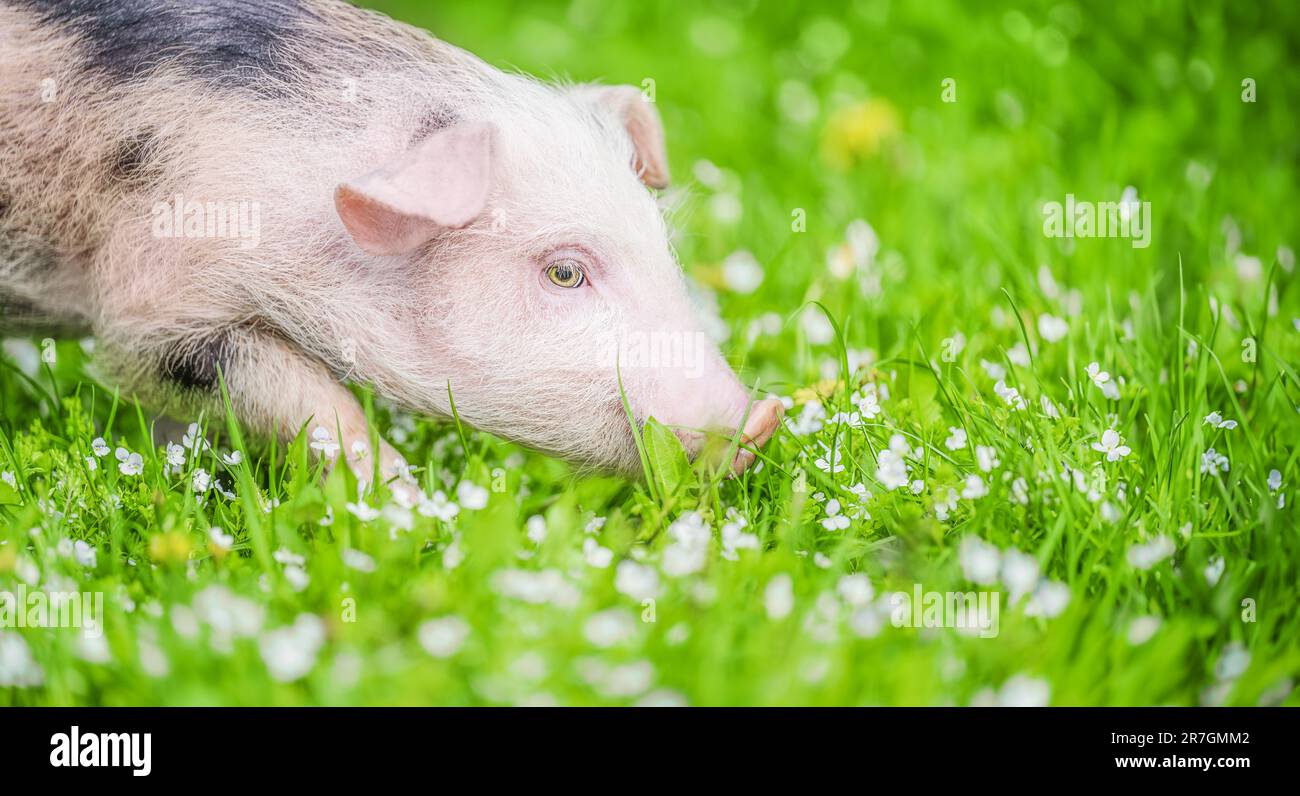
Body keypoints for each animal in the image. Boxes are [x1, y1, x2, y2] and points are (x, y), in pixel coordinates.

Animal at [0, 0, 783, 494]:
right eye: (565, 272)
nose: (764, 416)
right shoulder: (149, 301)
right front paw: (408, 507)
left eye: (663, 248)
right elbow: (303, 392)